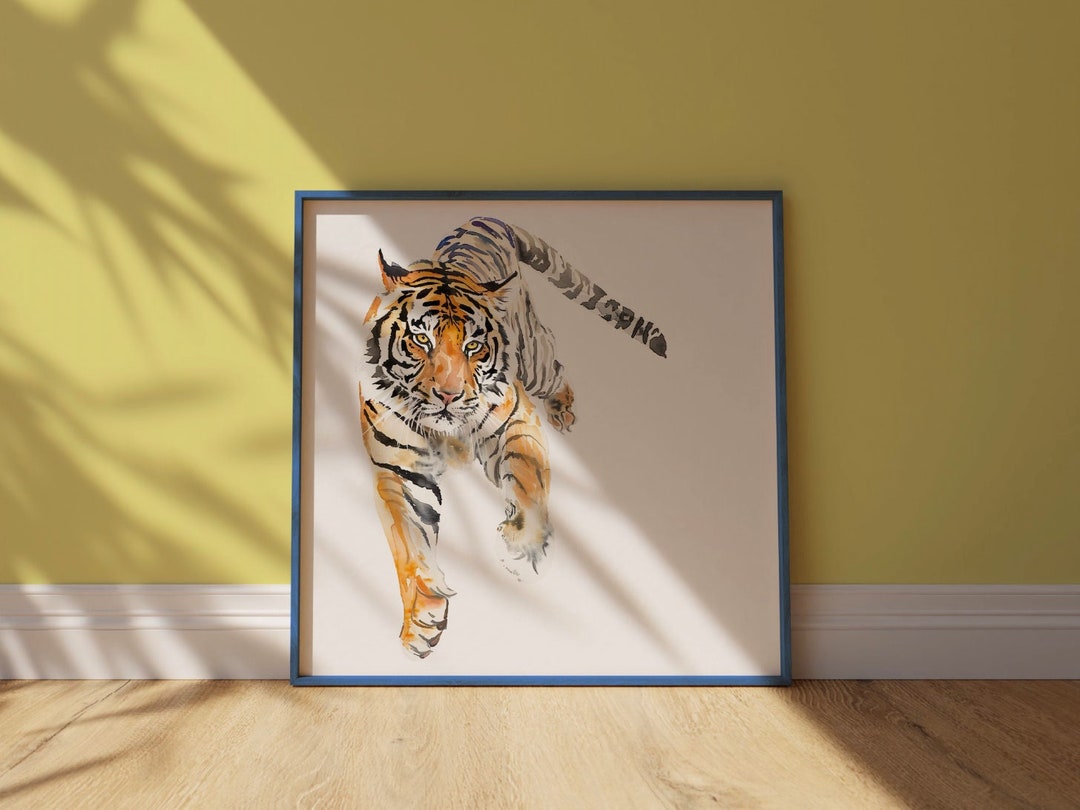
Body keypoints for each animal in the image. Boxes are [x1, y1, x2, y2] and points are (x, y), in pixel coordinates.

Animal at [359, 216, 668, 658]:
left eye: (473, 345)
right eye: (421, 340)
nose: (449, 395)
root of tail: (480, 219)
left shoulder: (515, 421)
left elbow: (527, 482)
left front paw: (522, 547)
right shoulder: (399, 469)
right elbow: (410, 540)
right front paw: (421, 619)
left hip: (535, 360)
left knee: (555, 364)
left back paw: (562, 408)